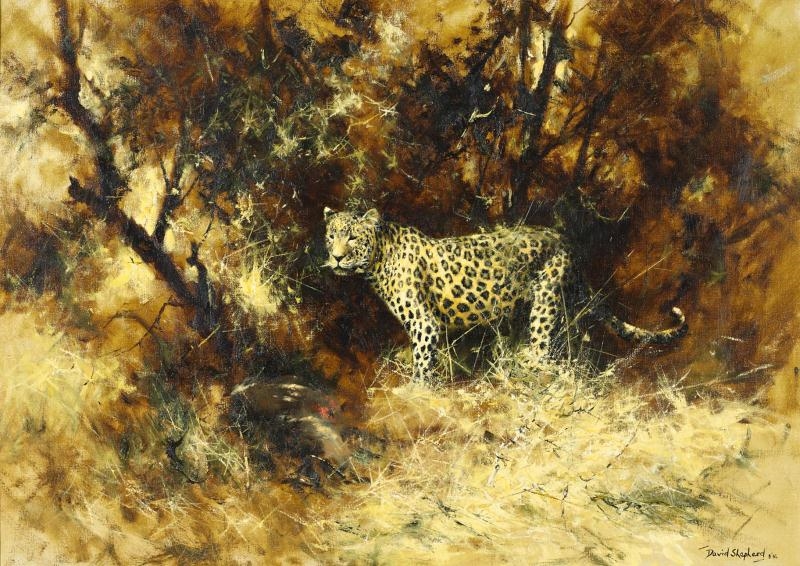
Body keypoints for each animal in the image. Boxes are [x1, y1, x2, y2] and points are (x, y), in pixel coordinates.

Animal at [323, 207, 687, 382]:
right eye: (331, 236)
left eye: (352, 237)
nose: (337, 257)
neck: (378, 259)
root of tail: (567, 241)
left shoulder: (425, 325)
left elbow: (423, 365)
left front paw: (418, 394)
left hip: (545, 303)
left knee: (544, 354)